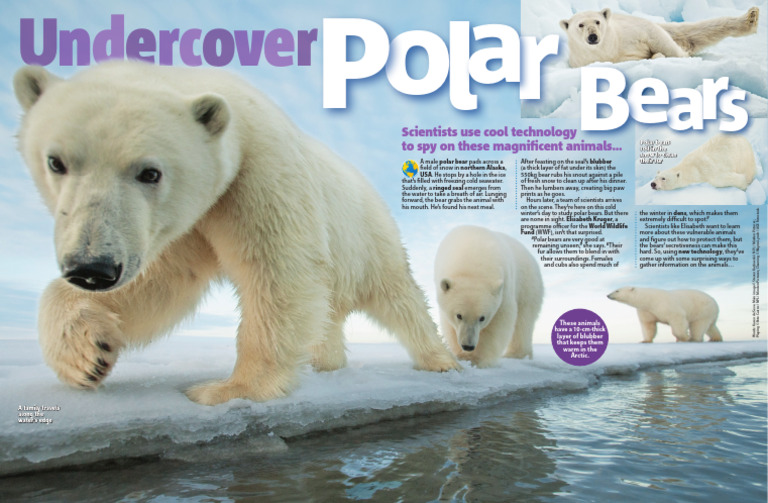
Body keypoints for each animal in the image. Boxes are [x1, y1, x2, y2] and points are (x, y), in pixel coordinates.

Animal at [13, 61, 460, 405]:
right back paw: (323, 361)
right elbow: (163, 284)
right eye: (56, 162)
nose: (93, 267)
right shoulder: (190, 221)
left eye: (151, 172)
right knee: (329, 309)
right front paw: (87, 354)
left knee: (398, 297)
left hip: (366, 236)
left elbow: (278, 274)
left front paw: (228, 390)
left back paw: (439, 360)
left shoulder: (257, 172)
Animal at [434, 225, 544, 367]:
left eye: (482, 318)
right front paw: (462, 356)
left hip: (528, 285)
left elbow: (498, 322)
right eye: (458, 315)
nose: (468, 346)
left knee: (524, 320)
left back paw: (517, 355)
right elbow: (449, 325)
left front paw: (475, 358)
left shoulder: (504, 287)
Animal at [560, 7, 760, 67]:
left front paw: (681, 55)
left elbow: (655, 37)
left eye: (597, 21)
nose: (593, 36)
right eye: (581, 25)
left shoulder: (631, 31)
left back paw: (751, 17)